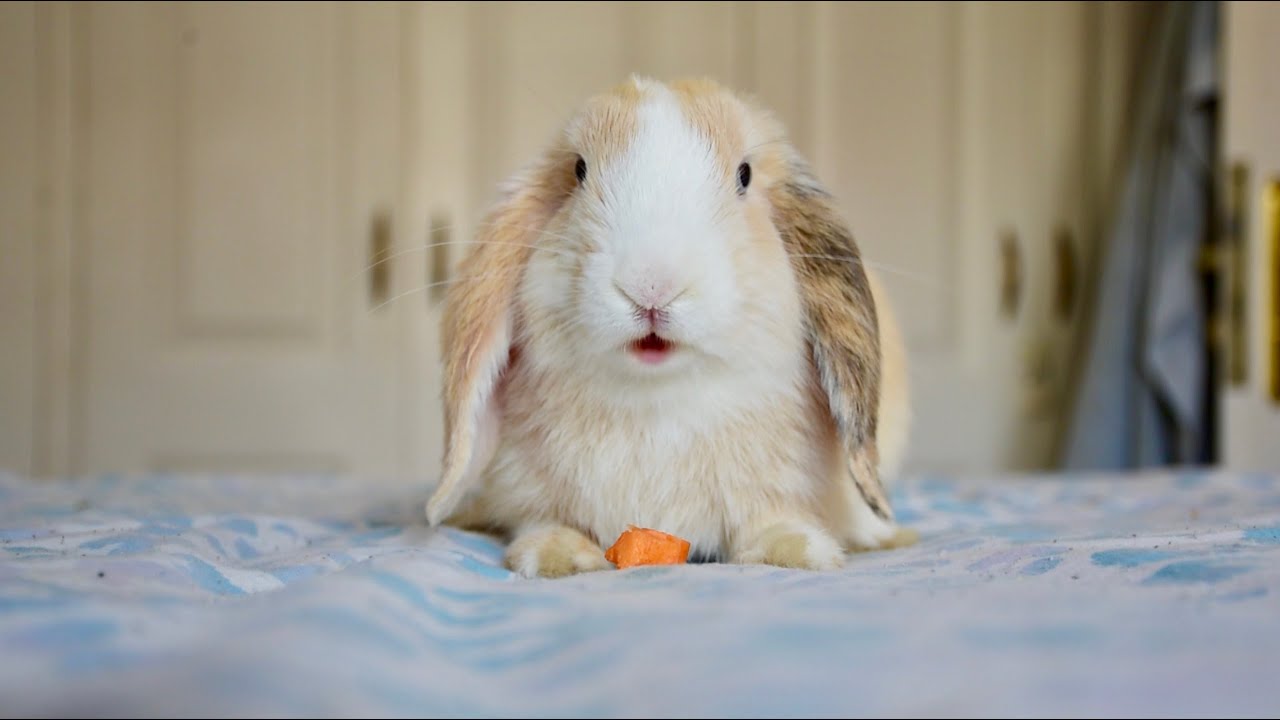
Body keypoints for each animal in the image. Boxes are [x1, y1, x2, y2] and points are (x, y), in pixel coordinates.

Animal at [424, 76, 915, 578]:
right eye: (579, 170)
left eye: (744, 175)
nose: (651, 284)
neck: (658, 400)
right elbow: (546, 520)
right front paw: (559, 557)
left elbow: (772, 519)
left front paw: (794, 552)